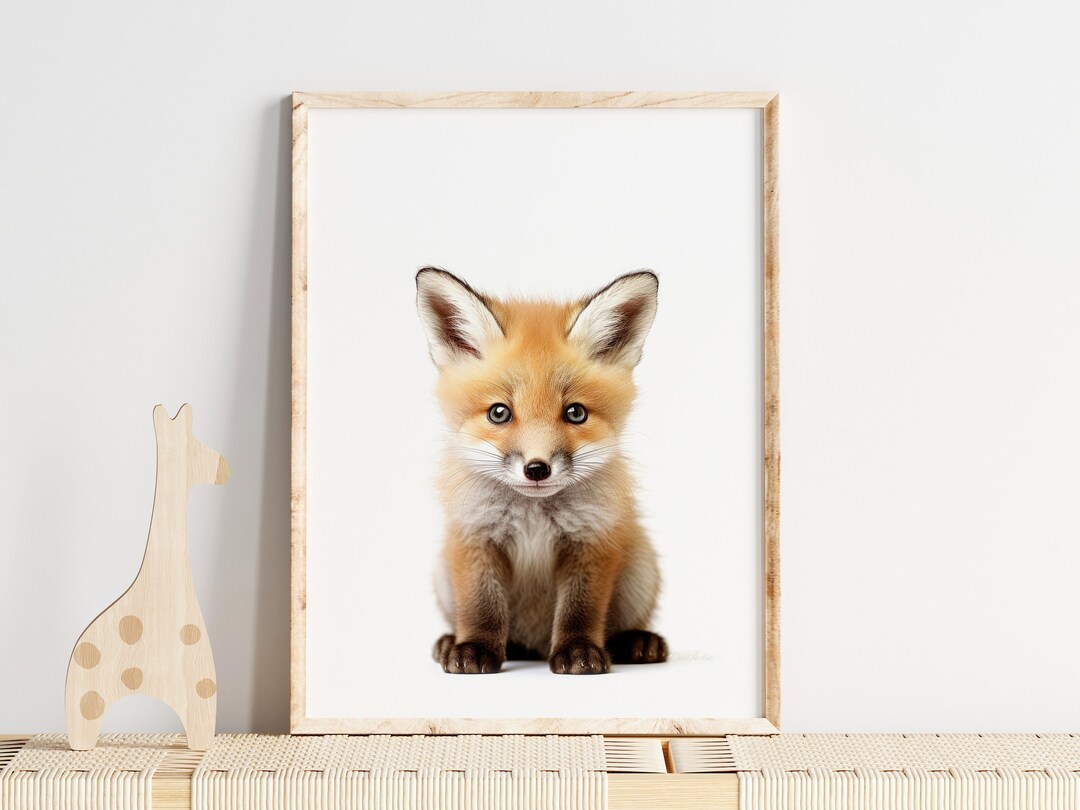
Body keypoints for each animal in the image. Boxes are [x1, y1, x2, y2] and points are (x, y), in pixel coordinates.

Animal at [415, 267, 668, 675]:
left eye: (575, 413)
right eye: (499, 413)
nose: (537, 469)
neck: (532, 518)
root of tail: (534, 647)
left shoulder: (591, 540)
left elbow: (581, 610)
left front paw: (579, 651)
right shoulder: (475, 536)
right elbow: (481, 606)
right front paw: (475, 648)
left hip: (641, 567)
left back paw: (635, 641)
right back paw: (459, 641)